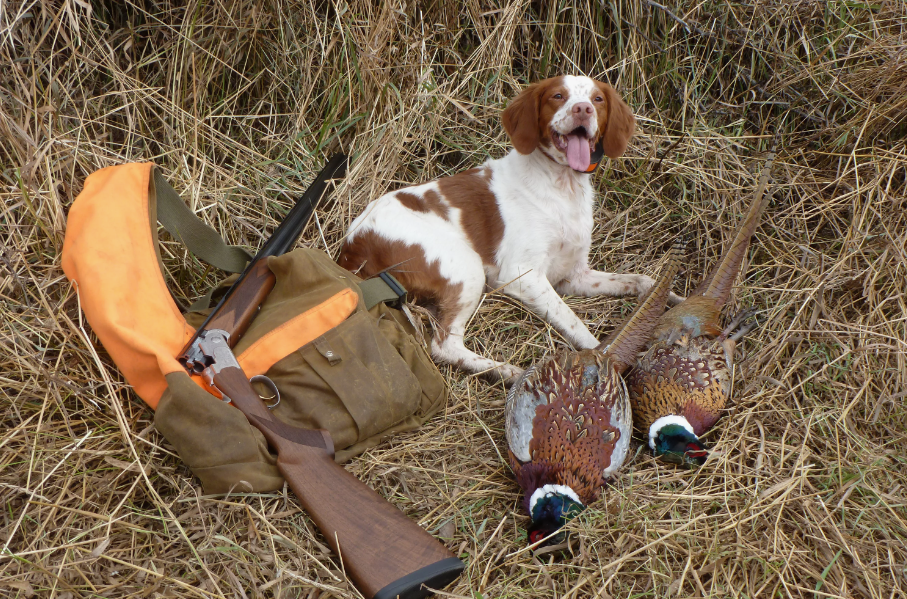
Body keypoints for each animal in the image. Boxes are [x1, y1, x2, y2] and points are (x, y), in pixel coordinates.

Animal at [338, 76, 672, 384]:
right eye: (558, 96)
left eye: (598, 99)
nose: (583, 109)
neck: (561, 187)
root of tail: (353, 245)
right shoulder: (522, 275)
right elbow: (575, 322)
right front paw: (607, 359)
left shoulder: (572, 276)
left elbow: (640, 280)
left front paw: (668, 298)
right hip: (466, 267)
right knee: (444, 345)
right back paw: (507, 371)